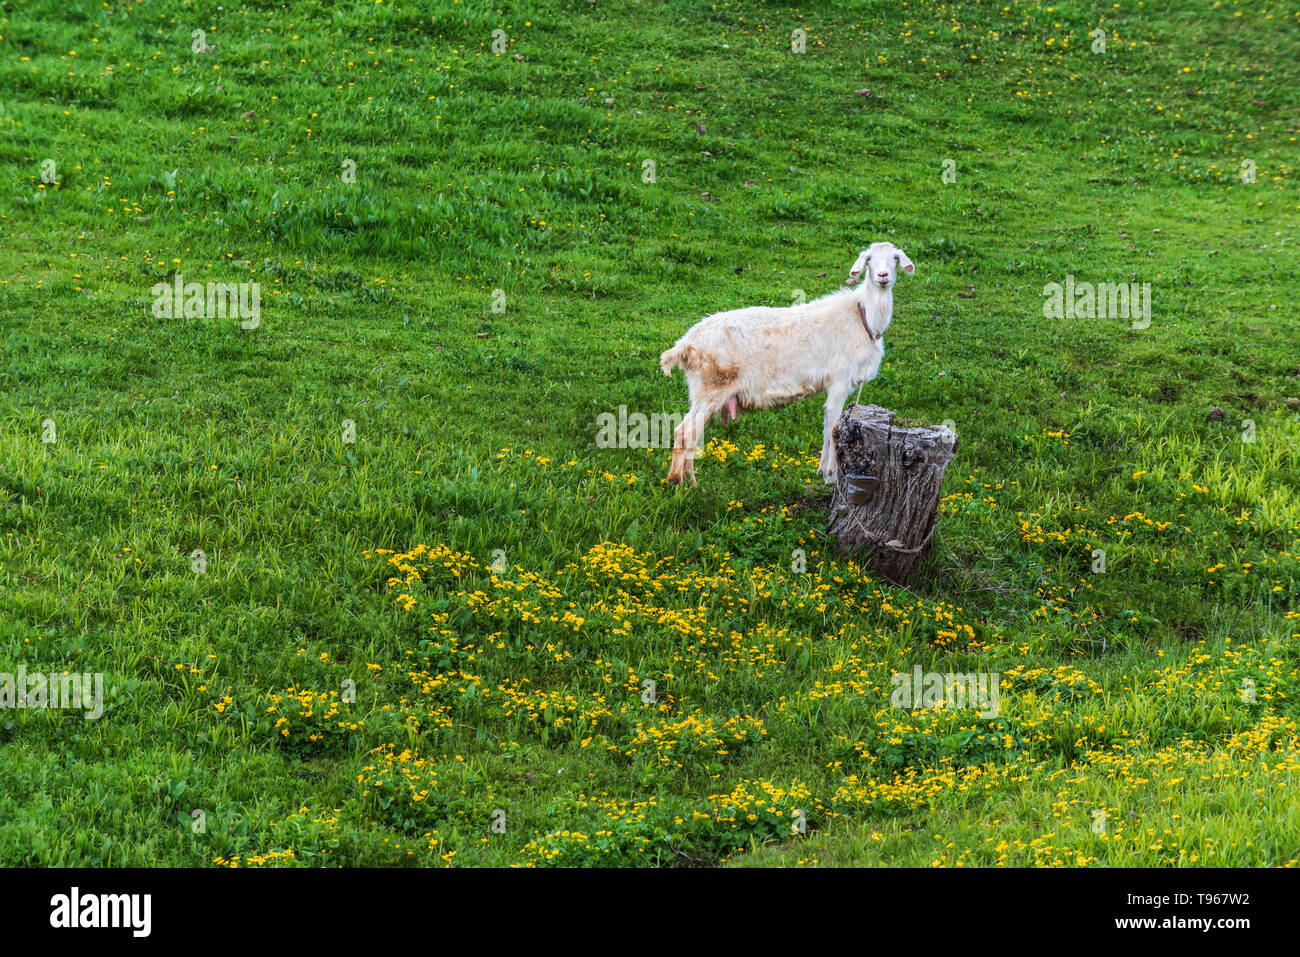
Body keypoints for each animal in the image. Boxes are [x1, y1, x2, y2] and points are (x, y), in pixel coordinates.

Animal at [659, 241, 914, 487]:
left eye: (895, 258)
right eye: (869, 259)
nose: (882, 276)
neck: (864, 318)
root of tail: (685, 345)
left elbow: (826, 428)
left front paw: (822, 472)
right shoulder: (840, 381)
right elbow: (833, 428)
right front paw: (831, 475)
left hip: (701, 390)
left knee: (690, 433)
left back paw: (689, 482)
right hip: (712, 386)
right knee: (685, 432)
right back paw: (679, 481)